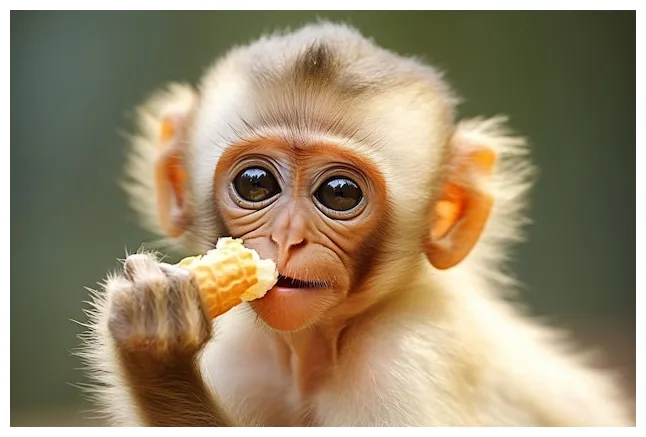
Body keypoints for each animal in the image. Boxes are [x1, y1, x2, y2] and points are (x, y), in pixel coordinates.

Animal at [77, 22, 634, 426]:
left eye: (340, 193)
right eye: (256, 183)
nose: (288, 237)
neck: (314, 355)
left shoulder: (403, 364)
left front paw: (154, 345)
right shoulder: (242, 361)